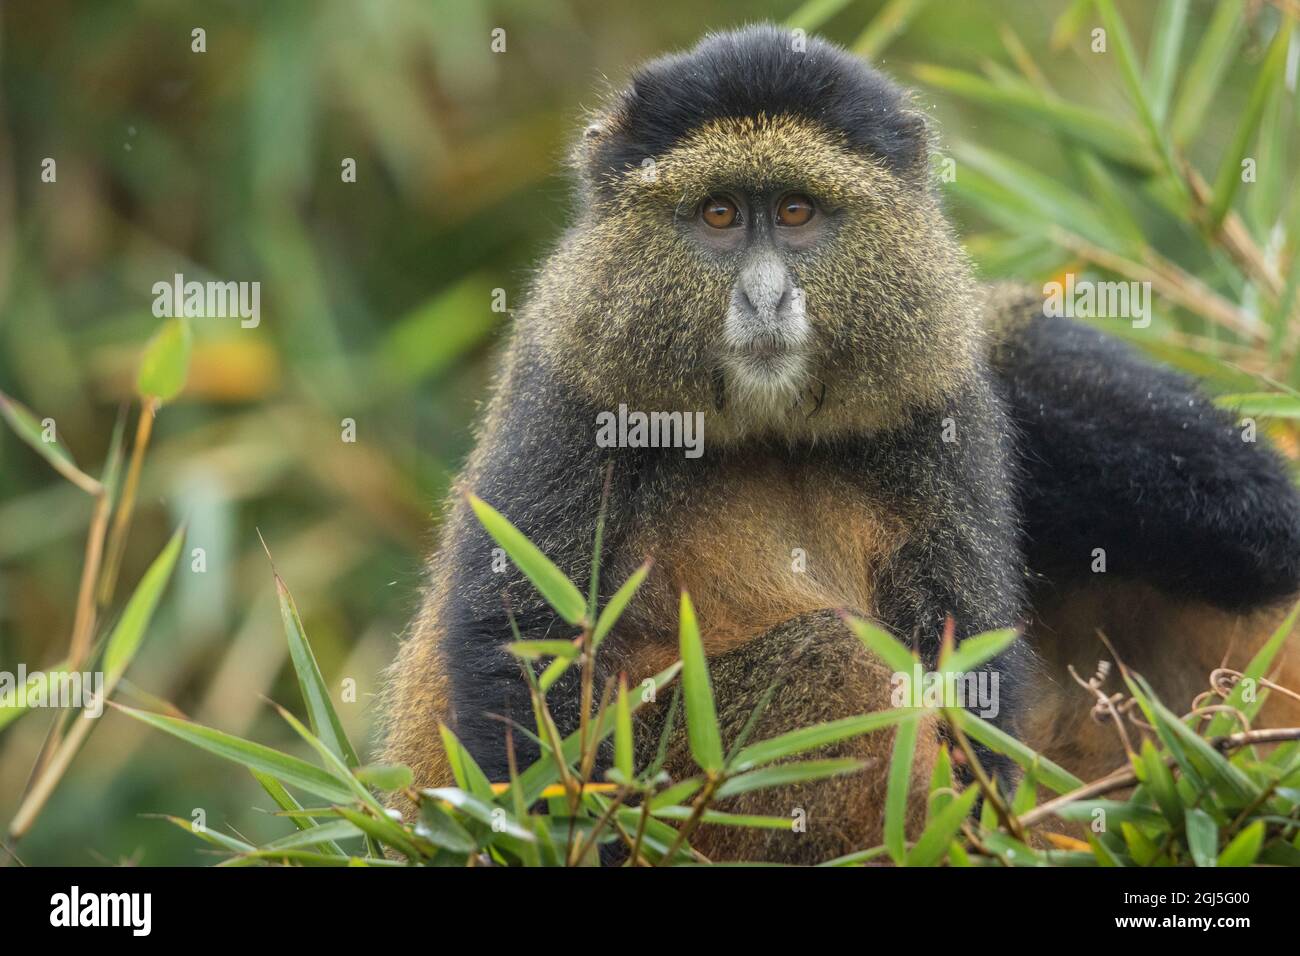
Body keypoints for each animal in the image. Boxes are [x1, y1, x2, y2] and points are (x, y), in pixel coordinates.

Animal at [381, 25, 1300, 864]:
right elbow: (524, 645)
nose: (764, 296)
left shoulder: (943, 400)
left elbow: (964, 649)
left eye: (796, 213)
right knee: (820, 656)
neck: (768, 428)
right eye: (719, 215)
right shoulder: (574, 386)